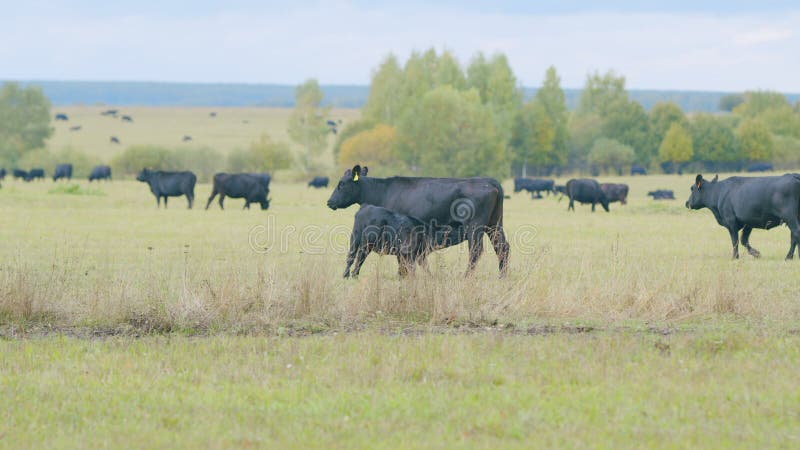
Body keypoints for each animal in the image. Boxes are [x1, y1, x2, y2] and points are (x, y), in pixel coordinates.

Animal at [327, 164, 510, 277]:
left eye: (341, 184)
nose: (329, 202)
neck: (383, 191)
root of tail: (488, 181)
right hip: (495, 224)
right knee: (502, 247)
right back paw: (502, 276)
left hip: (475, 227)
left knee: (476, 251)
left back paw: (466, 277)